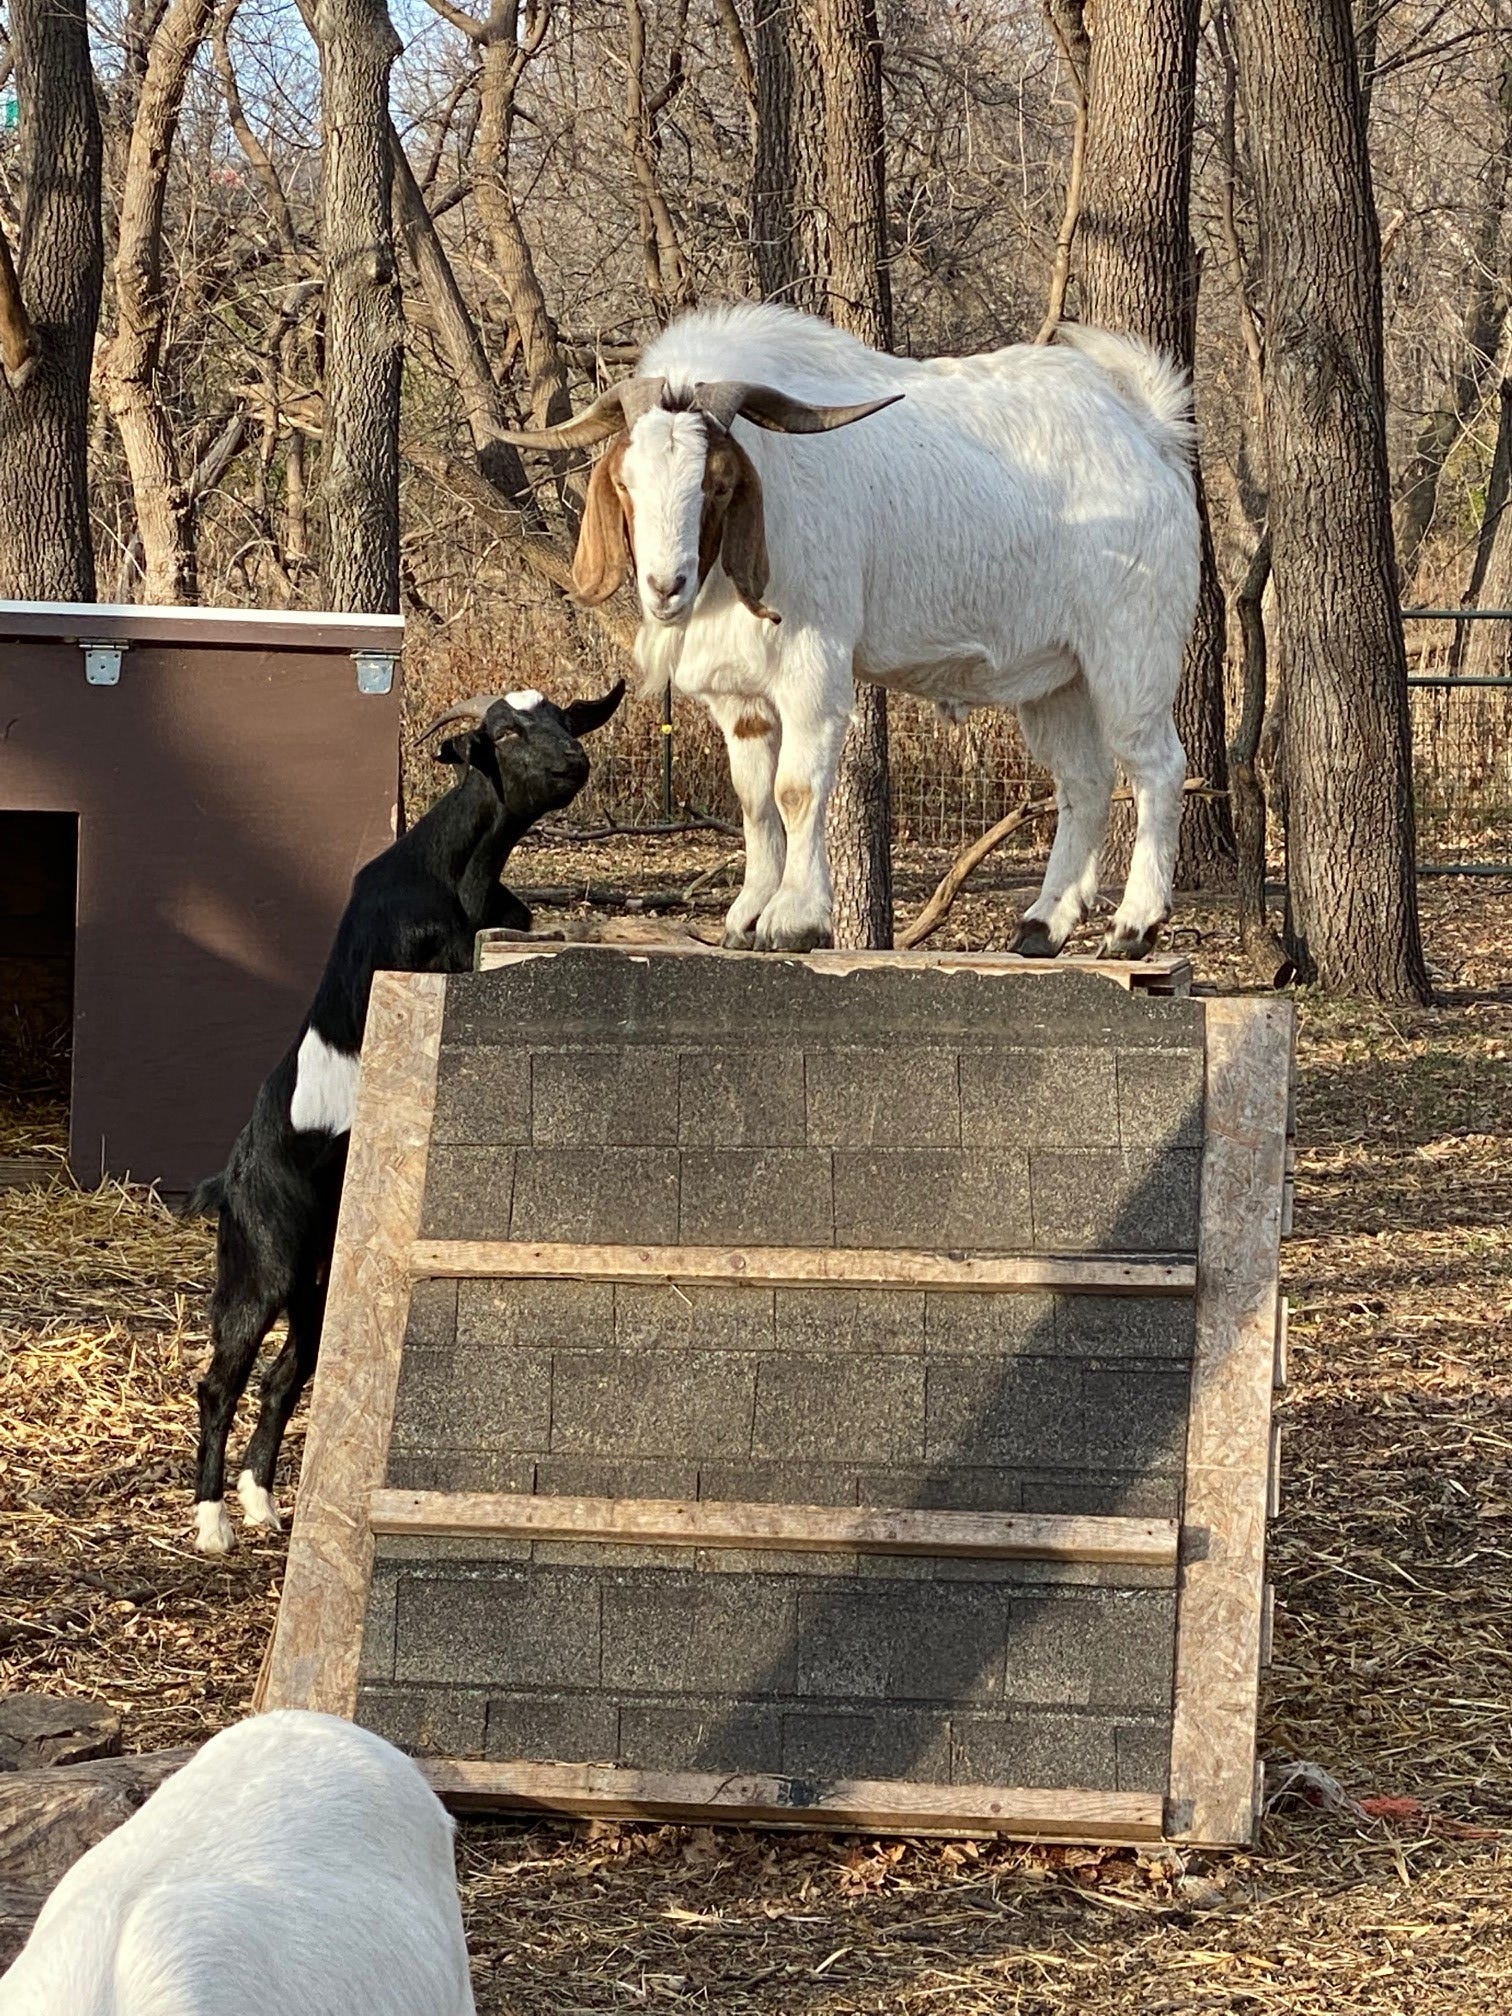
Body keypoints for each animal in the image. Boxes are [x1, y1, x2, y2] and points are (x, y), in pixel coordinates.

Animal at [188, 681, 623, 1554]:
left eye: (565, 717)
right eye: (506, 731)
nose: (574, 761)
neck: (456, 870)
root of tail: (231, 1177)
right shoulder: (432, 957)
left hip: (320, 1272)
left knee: (287, 1372)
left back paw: (262, 1504)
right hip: (262, 1260)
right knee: (221, 1377)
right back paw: (213, 1522)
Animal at [503, 301, 1199, 957]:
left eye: (718, 483)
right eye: (626, 483)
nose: (664, 585)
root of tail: (1146, 434)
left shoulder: (812, 667)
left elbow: (796, 789)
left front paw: (793, 920)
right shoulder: (738, 696)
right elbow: (754, 798)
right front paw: (746, 917)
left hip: (1131, 653)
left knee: (1156, 767)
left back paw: (1134, 927)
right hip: (1057, 679)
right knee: (1084, 782)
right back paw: (1041, 926)